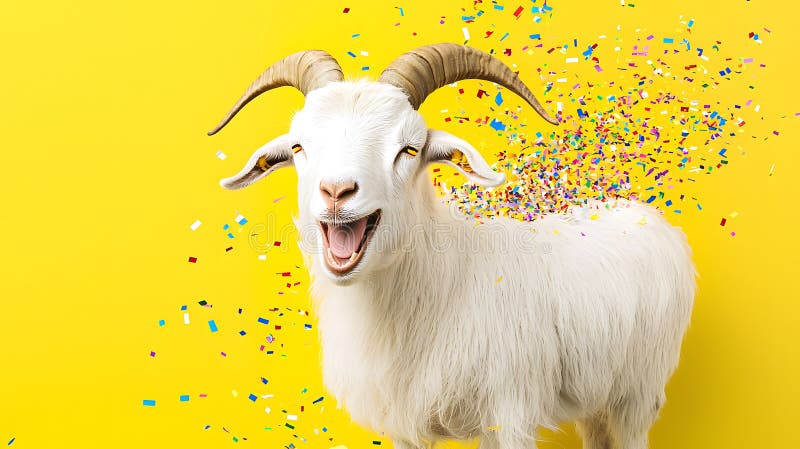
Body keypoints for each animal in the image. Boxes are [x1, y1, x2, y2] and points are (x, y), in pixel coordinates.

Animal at [208, 43, 696, 449]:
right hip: (596, 397)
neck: (439, 286)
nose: (336, 191)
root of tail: (638, 210)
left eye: (409, 149)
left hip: (638, 391)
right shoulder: (405, 427)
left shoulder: (509, 415)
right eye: (298, 146)